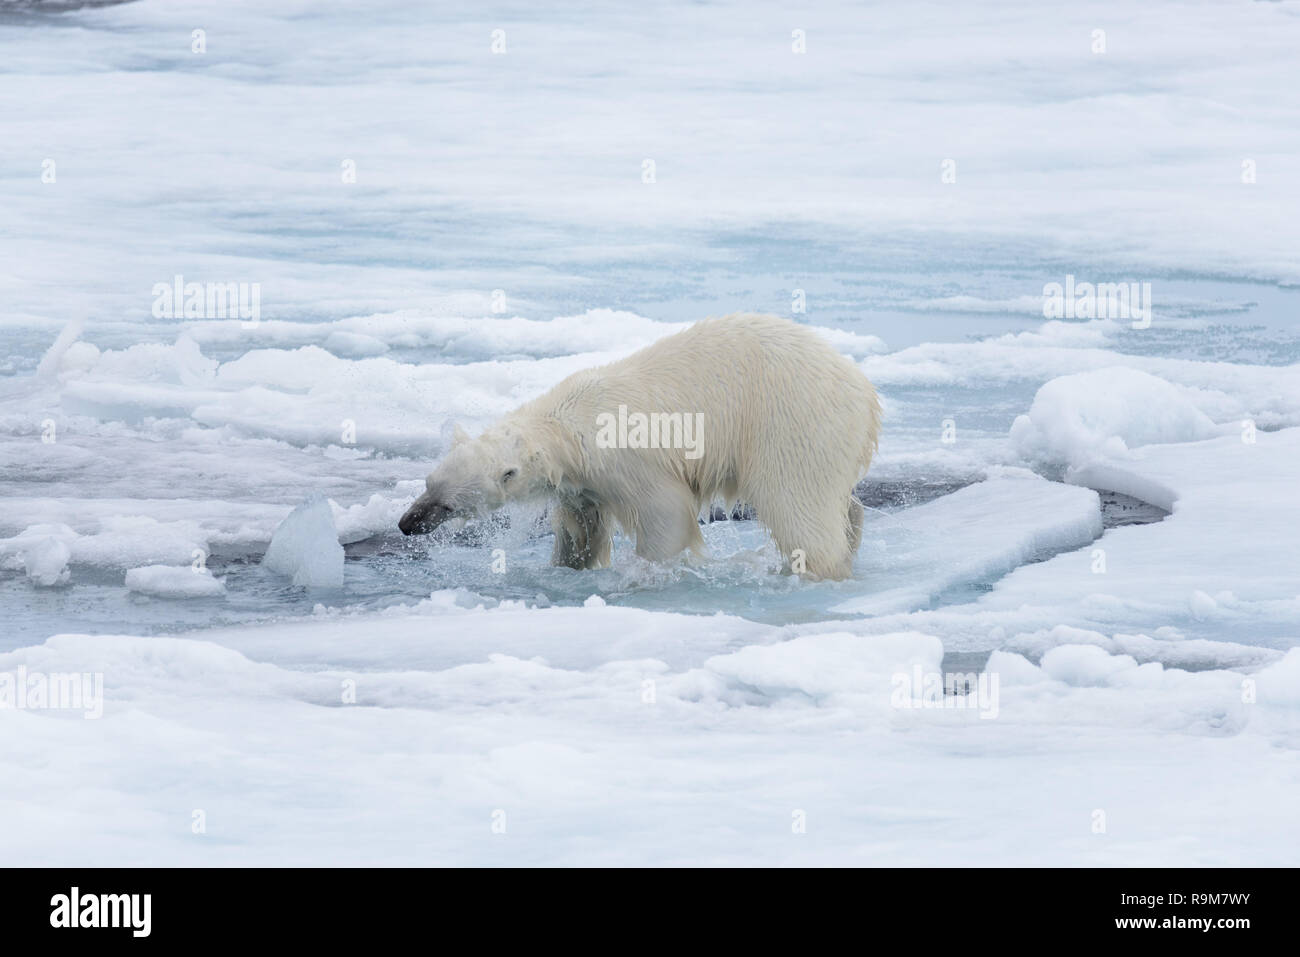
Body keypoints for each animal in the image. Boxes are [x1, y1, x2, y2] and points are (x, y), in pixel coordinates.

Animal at [399, 312, 882, 580]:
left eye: (447, 505)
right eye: (427, 483)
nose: (407, 523)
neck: (564, 426)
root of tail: (864, 391)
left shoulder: (622, 459)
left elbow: (665, 513)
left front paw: (646, 573)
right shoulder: (581, 483)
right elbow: (581, 529)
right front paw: (566, 565)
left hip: (791, 423)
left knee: (796, 506)